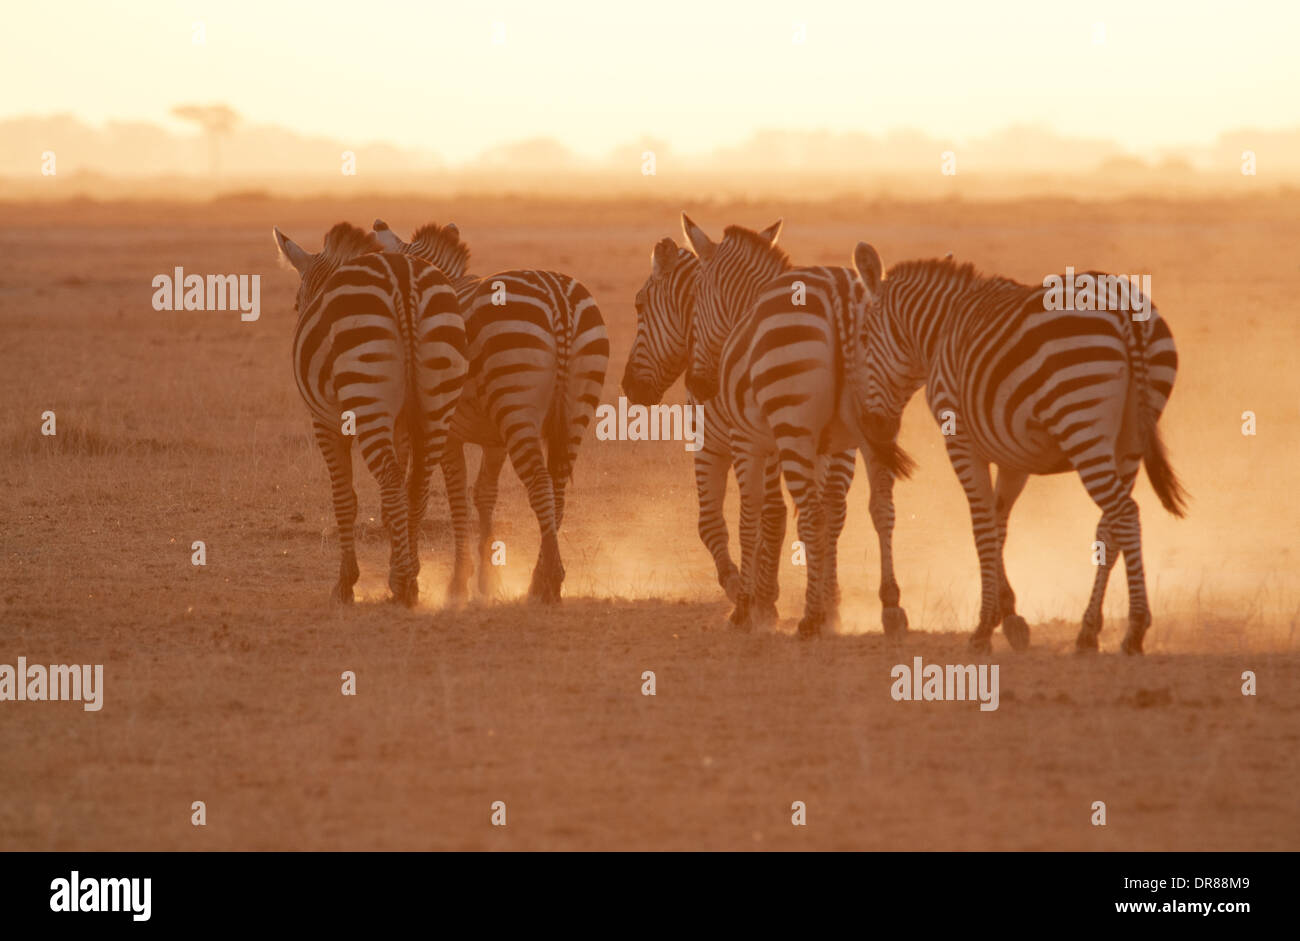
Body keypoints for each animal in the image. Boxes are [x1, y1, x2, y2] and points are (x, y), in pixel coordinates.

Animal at [271, 222, 470, 603]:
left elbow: (344, 498)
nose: (300, 310)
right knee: (417, 485)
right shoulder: (403, 425)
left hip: (366, 394)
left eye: (296, 304)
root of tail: (404, 282)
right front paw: (398, 563)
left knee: (391, 478)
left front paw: (345, 583)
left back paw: (404, 584)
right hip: (437, 402)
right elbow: (391, 504)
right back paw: (408, 577)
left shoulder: (326, 422)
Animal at [369, 220, 605, 603]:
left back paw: (548, 581)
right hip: (574, 411)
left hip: (518, 405)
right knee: (557, 486)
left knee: (540, 484)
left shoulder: (449, 432)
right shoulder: (495, 440)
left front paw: (458, 582)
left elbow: (456, 496)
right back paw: (542, 577)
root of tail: (558, 299)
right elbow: (484, 495)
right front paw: (487, 580)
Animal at [712, 252, 915, 631]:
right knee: (882, 508)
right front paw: (829, 600)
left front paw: (745, 608)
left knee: (813, 515)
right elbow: (828, 514)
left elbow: (750, 518)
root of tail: (841, 294)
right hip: (880, 420)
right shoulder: (826, 446)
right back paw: (891, 607)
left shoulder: (747, 441)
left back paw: (810, 618)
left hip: (793, 425)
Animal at [852, 245, 1190, 649]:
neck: (941, 331)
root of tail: (1122, 307)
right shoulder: (1013, 456)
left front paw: (984, 626)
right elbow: (999, 525)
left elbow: (982, 527)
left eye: (864, 338)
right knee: (1109, 526)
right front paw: (1007, 614)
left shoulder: (960, 440)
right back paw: (1087, 632)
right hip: (1129, 442)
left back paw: (1135, 629)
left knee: (1125, 513)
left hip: (1082, 426)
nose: (873, 427)